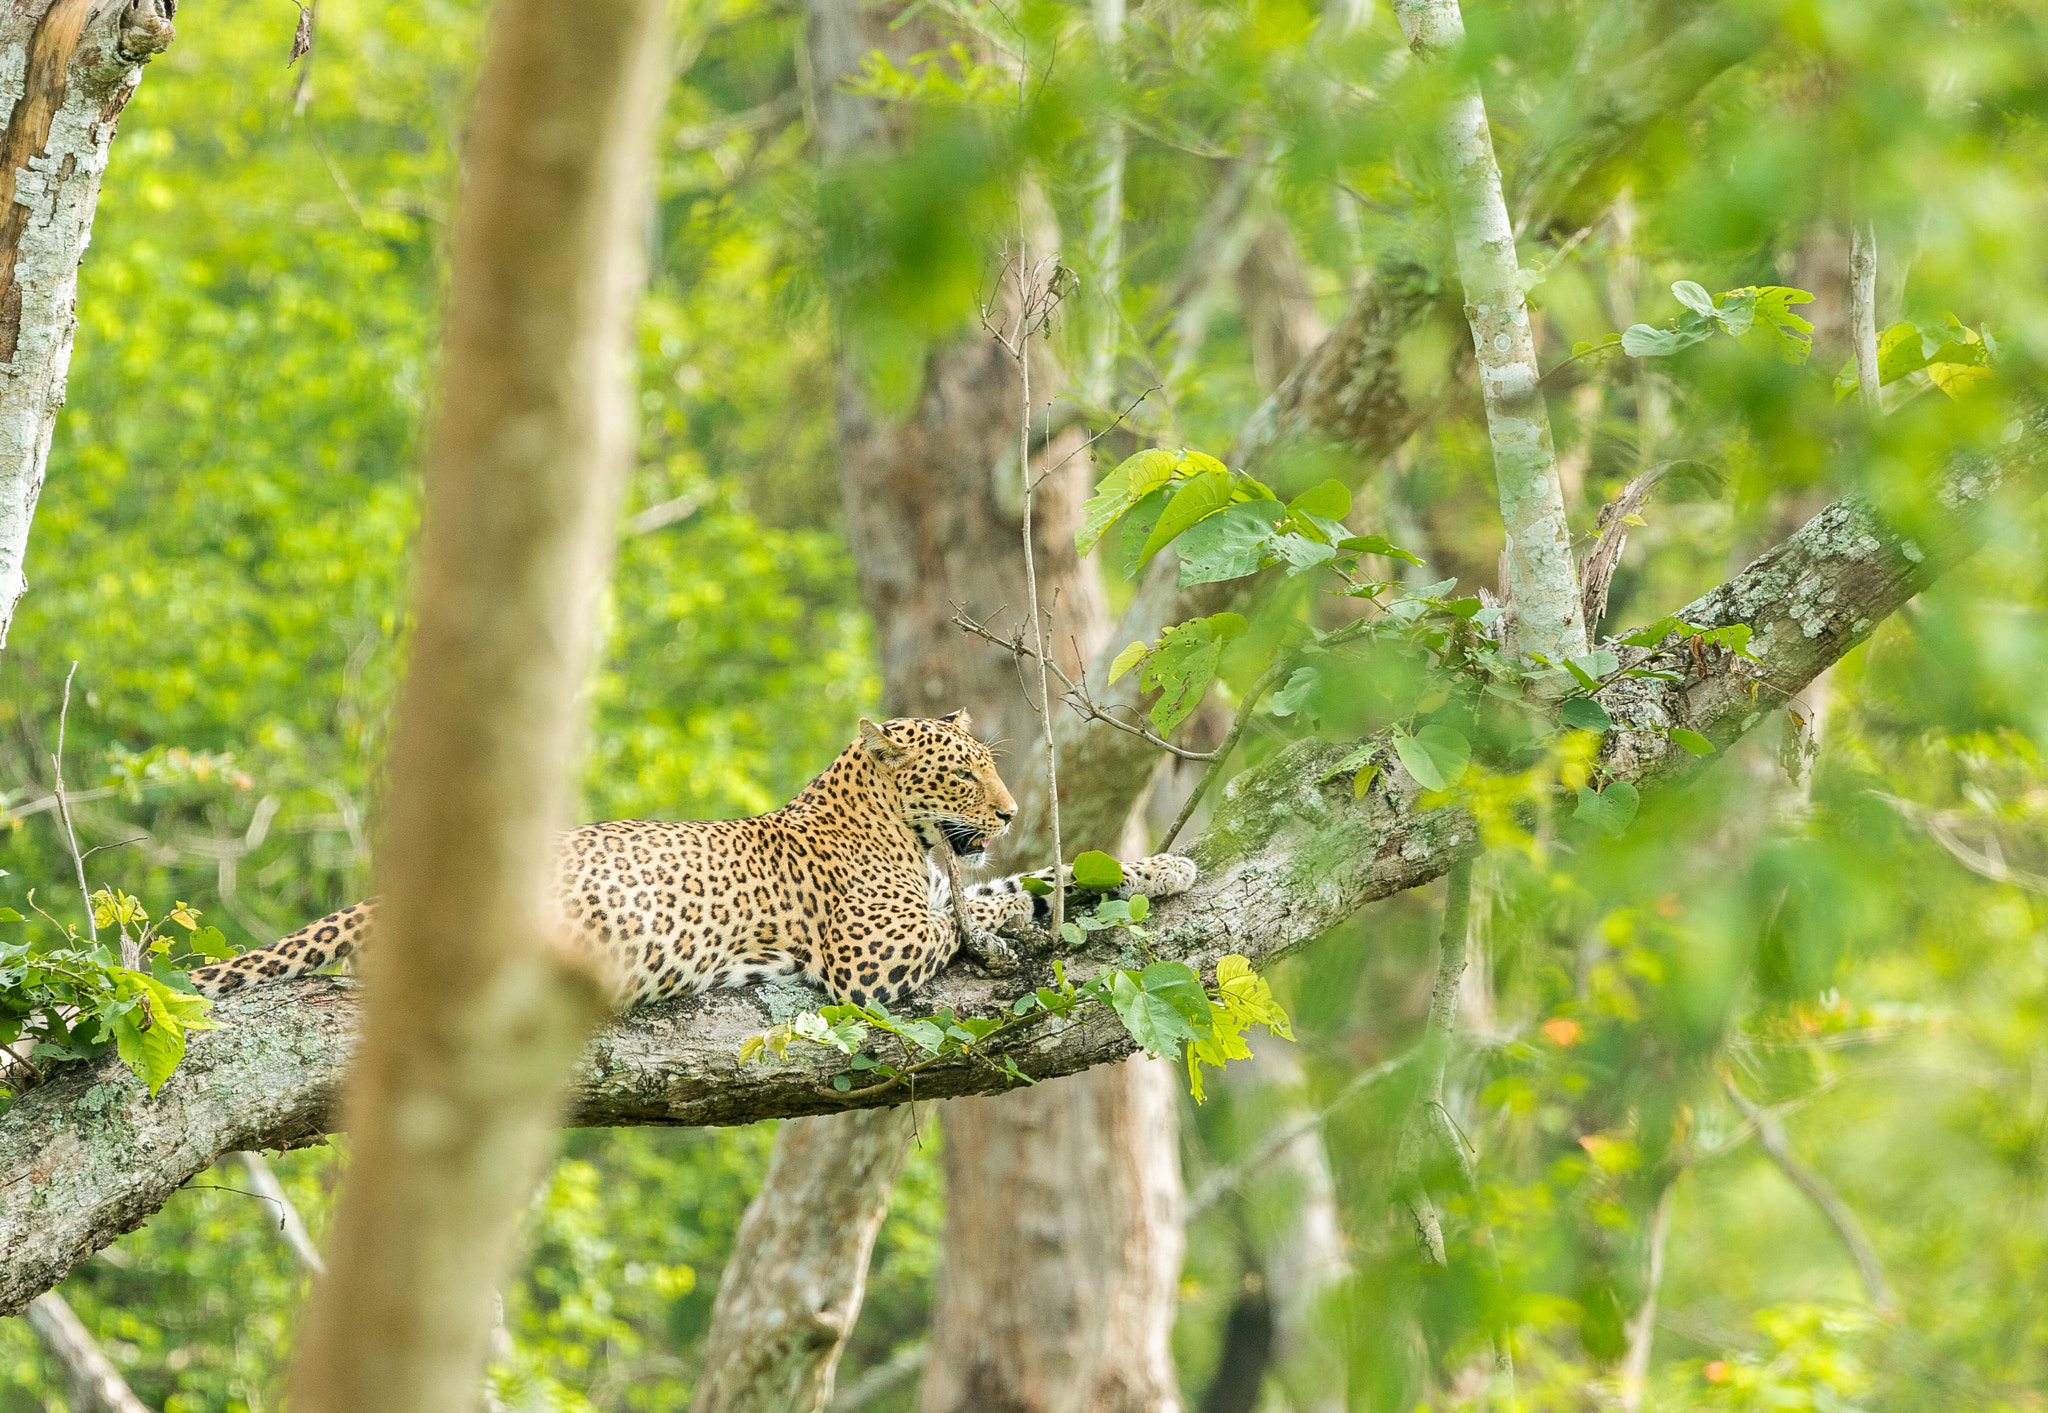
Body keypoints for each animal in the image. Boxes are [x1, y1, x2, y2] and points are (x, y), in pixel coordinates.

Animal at [187, 712, 1197, 1010]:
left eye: (991, 764)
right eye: (963, 771)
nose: (1012, 809)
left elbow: (1025, 881)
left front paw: (1162, 870)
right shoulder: (868, 956)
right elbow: (981, 907)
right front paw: (1006, 918)